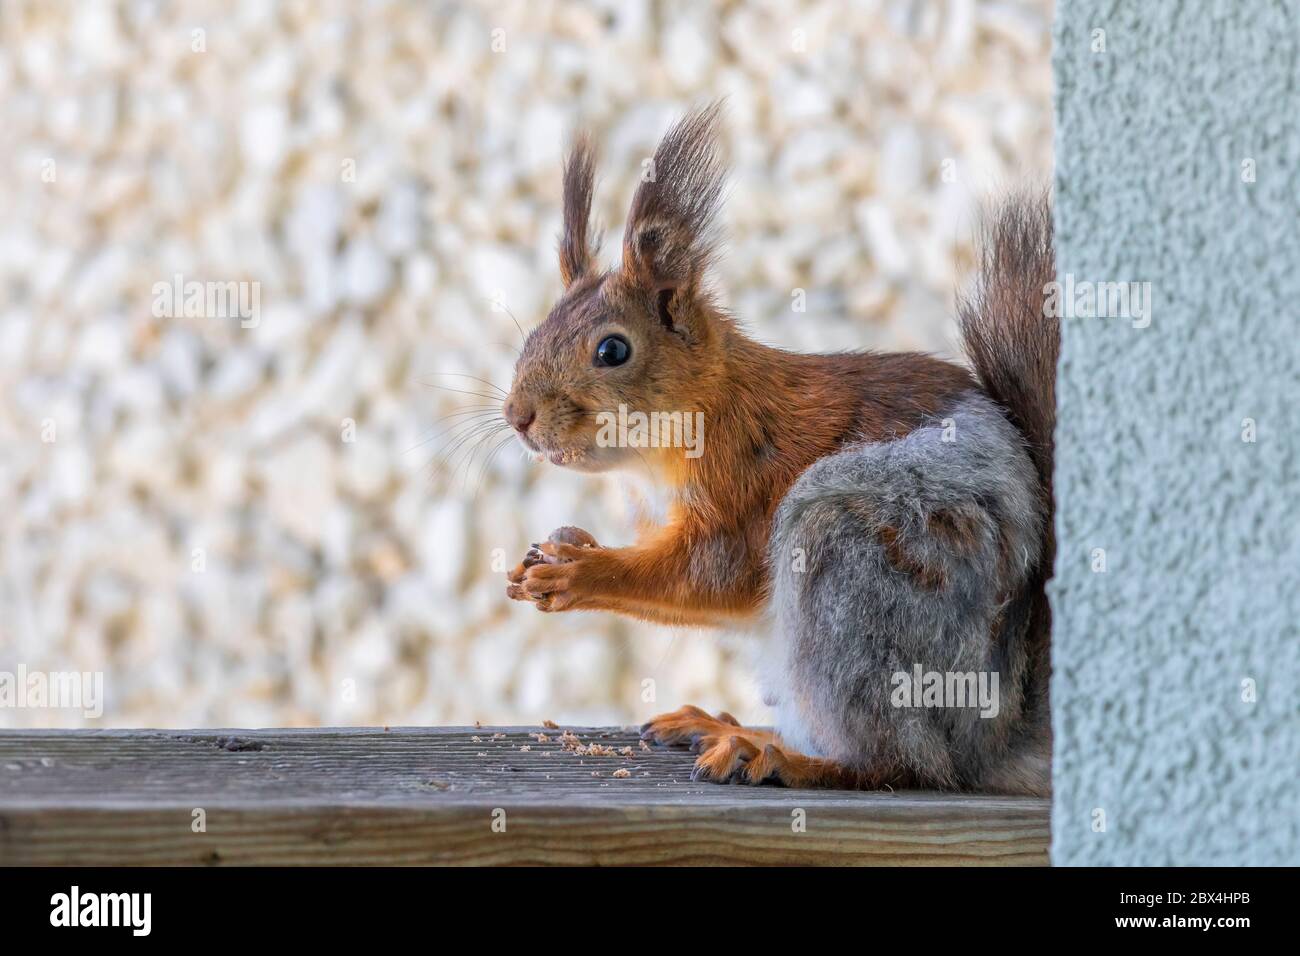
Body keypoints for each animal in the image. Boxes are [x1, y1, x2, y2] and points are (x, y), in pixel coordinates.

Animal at [504, 103, 1057, 796]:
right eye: (537, 331)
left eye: (612, 349)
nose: (517, 417)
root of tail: (988, 740)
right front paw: (567, 541)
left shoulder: (743, 485)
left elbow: (708, 575)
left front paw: (579, 570)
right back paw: (725, 728)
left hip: (852, 558)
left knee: (899, 764)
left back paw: (780, 757)